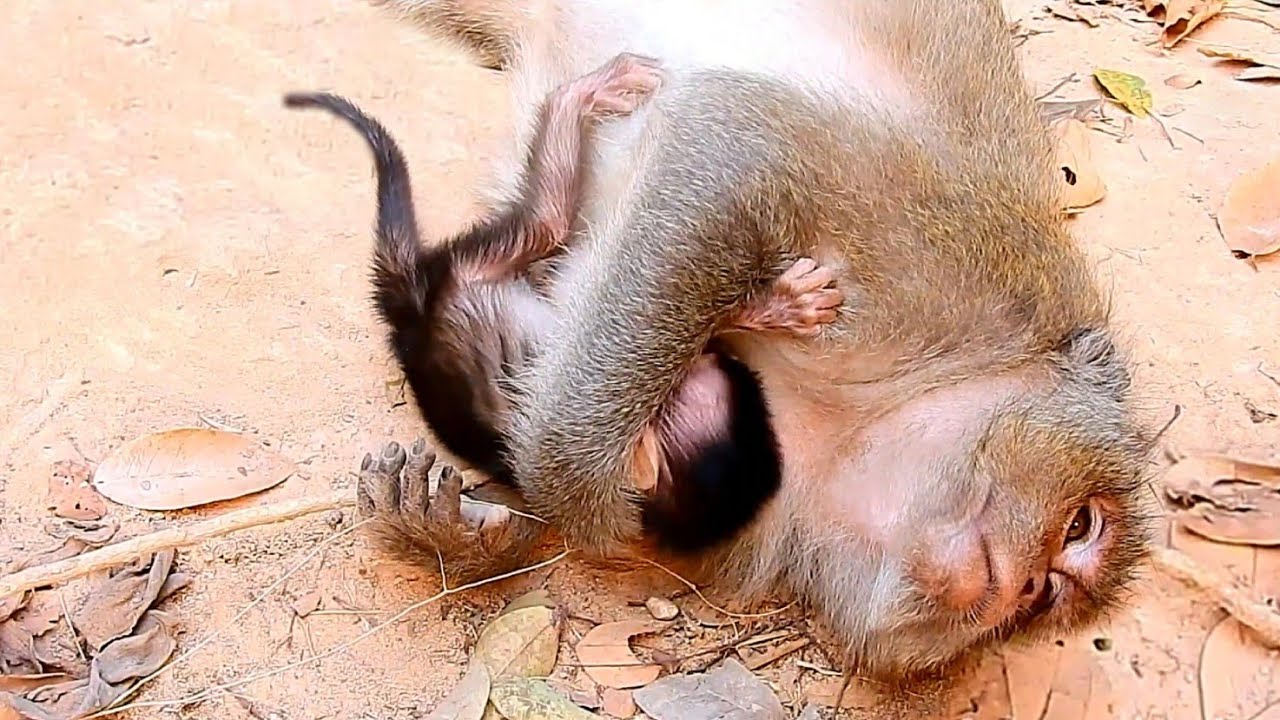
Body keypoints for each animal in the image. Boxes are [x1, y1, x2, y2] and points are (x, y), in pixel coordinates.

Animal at [284, 53, 844, 556]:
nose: (709, 360)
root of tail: (411, 310)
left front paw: (773, 308)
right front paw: (771, 307)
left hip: (465, 273)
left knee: (546, 225)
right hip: (469, 271)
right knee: (546, 224)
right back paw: (583, 96)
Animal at [346, 0, 1155, 680]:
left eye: (1047, 599)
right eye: (1082, 525)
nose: (1023, 585)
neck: (848, 429)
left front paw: (458, 530)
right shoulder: (949, 267)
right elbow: (737, 145)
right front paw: (576, 492)